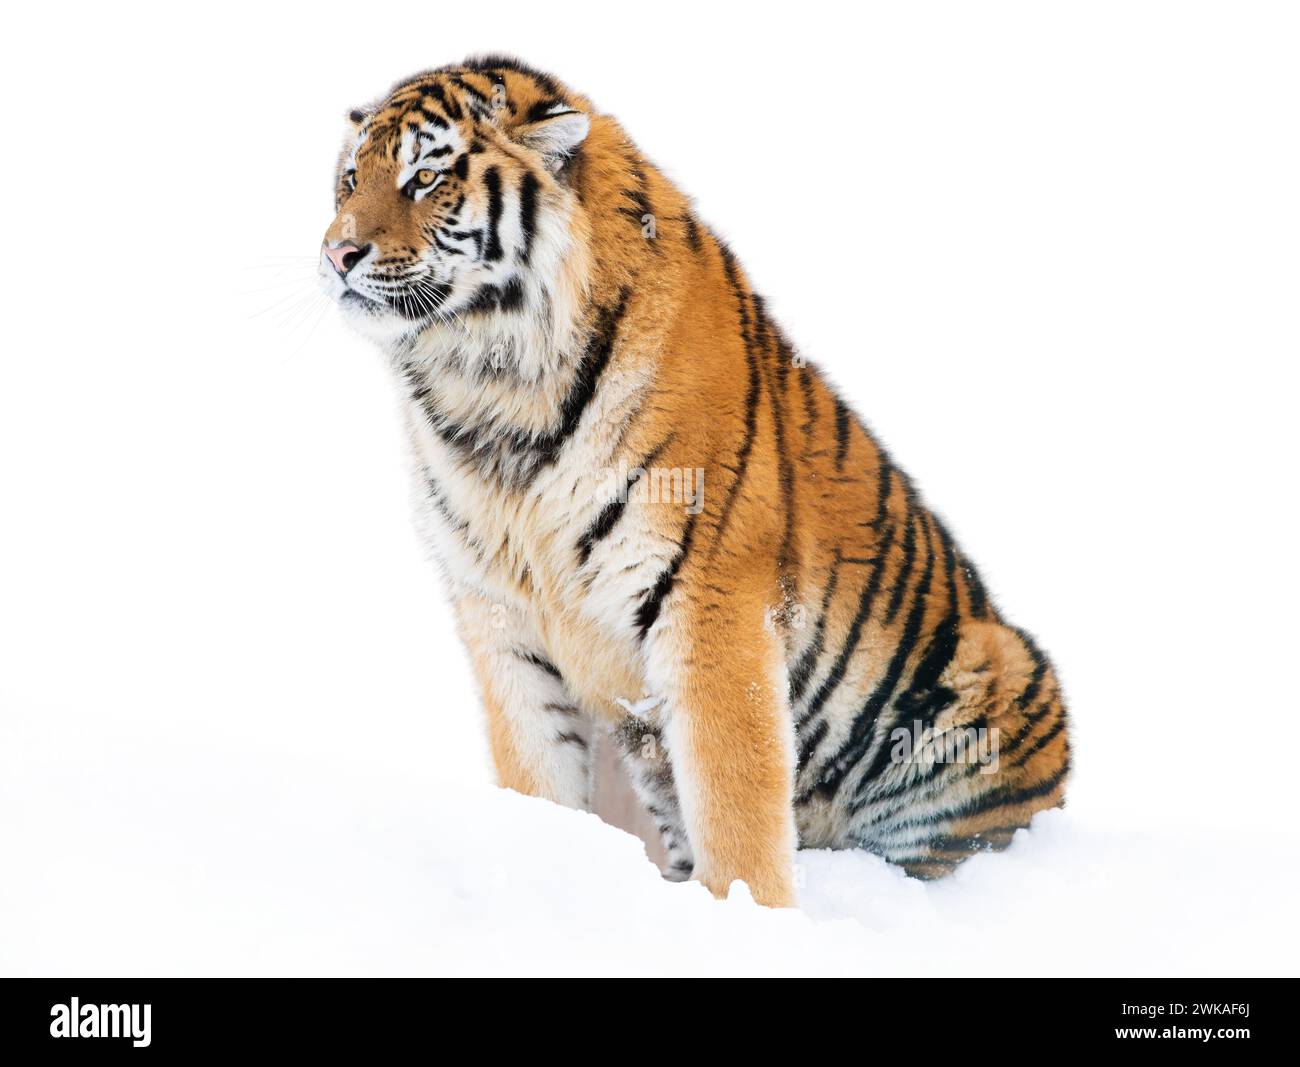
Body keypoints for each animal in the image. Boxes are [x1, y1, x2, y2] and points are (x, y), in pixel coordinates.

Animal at [318, 56, 1071, 908]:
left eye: (426, 177)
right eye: (350, 179)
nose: (337, 253)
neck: (489, 395)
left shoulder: (708, 600)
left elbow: (734, 801)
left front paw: (750, 914)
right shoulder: (498, 614)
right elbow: (537, 769)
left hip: (988, 677)